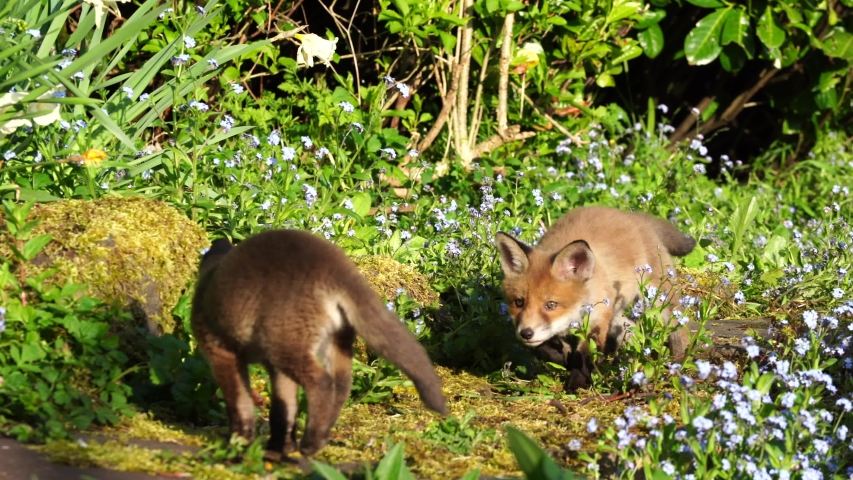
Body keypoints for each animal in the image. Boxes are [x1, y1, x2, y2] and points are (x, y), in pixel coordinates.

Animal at [190, 229, 448, 458]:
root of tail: (337, 268)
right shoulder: (274, 367)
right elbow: (283, 410)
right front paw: (280, 448)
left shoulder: (221, 352)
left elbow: (239, 404)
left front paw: (238, 444)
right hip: (331, 343)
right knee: (342, 385)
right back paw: (319, 437)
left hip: (287, 347)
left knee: (322, 383)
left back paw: (310, 444)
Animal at [494, 206, 696, 390]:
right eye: (519, 302)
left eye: (551, 305)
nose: (526, 333)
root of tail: (631, 215)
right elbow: (544, 348)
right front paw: (565, 358)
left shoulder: (597, 317)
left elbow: (585, 355)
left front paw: (577, 383)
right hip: (618, 313)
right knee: (632, 331)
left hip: (660, 298)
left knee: (679, 328)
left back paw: (679, 362)